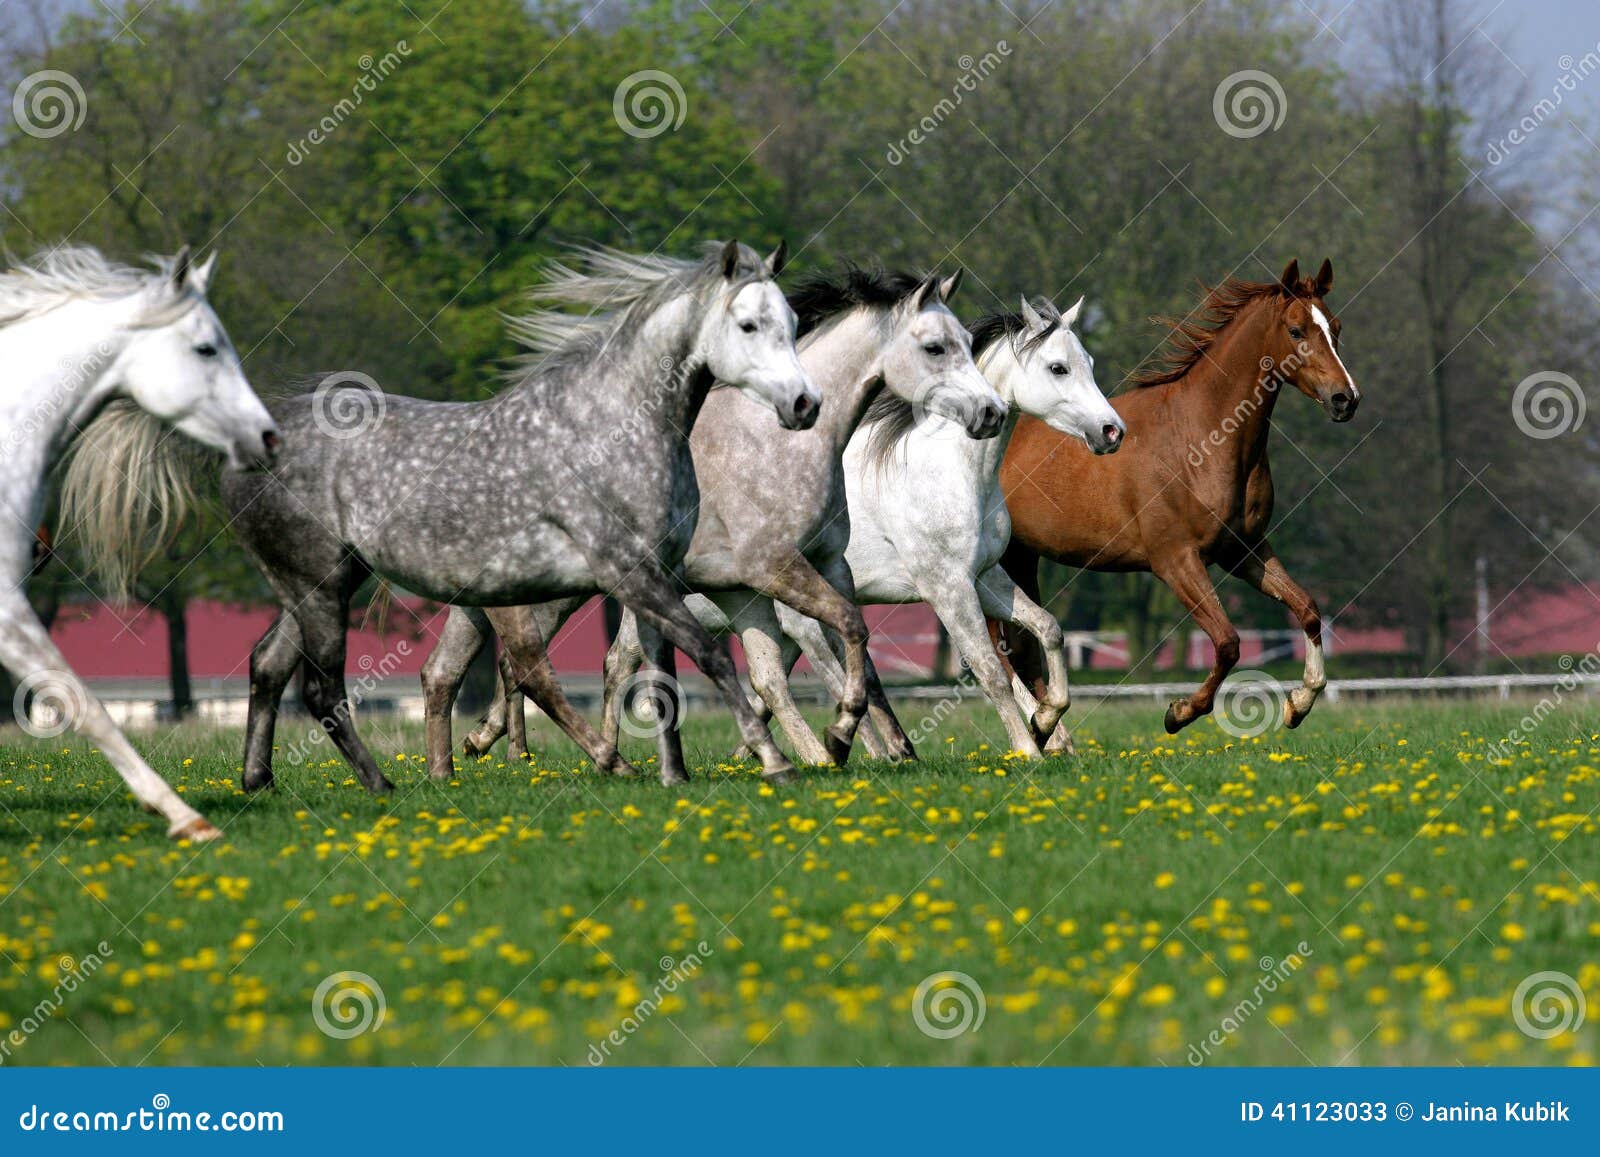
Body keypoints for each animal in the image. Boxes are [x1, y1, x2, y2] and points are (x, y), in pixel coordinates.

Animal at [66, 241, 820, 792]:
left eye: (792, 324)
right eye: (748, 324)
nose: (804, 404)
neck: (613, 424)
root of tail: (254, 438)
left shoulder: (652, 578)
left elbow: (662, 678)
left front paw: (676, 775)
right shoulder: (634, 575)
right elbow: (708, 657)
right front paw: (774, 759)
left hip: (318, 585)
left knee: (267, 665)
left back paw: (262, 781)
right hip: (322, 590)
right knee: (323, 689)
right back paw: (384, 786)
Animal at [424, 267, 1008, 778]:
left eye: (965, 339)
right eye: (935, 347)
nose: (992, 413)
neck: (779, 444)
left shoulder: (817, 567)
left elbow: (839, 652)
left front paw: (838, 745)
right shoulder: (775, 569)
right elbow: (846, 629)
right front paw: (838, 737)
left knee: (447, 671)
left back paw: (459, 766)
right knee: (526, 668)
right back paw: (589, 760)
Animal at [772, 294, 1125, 759]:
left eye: (1090, 361)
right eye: (1058, 368)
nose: (1112, 431)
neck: (949, 471)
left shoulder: (985, 576)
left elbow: (1049, 629)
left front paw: (1045, 721)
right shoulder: (948, 588)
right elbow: (990, 669)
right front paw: (1028, 749)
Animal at [991, 259, 1358, 743]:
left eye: (1335, 328)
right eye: (1296, 330)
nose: (1345, 399)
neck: (1201, 437)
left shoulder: (1244, 551)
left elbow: (1308, 610)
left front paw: (1299, 703)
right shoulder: (1175, 561)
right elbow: (1228, 643)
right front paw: (1180, 712)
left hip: (1023, 559)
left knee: (1021, 648)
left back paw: (1050, 733)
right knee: (1000, 652)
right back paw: (1042, 728)